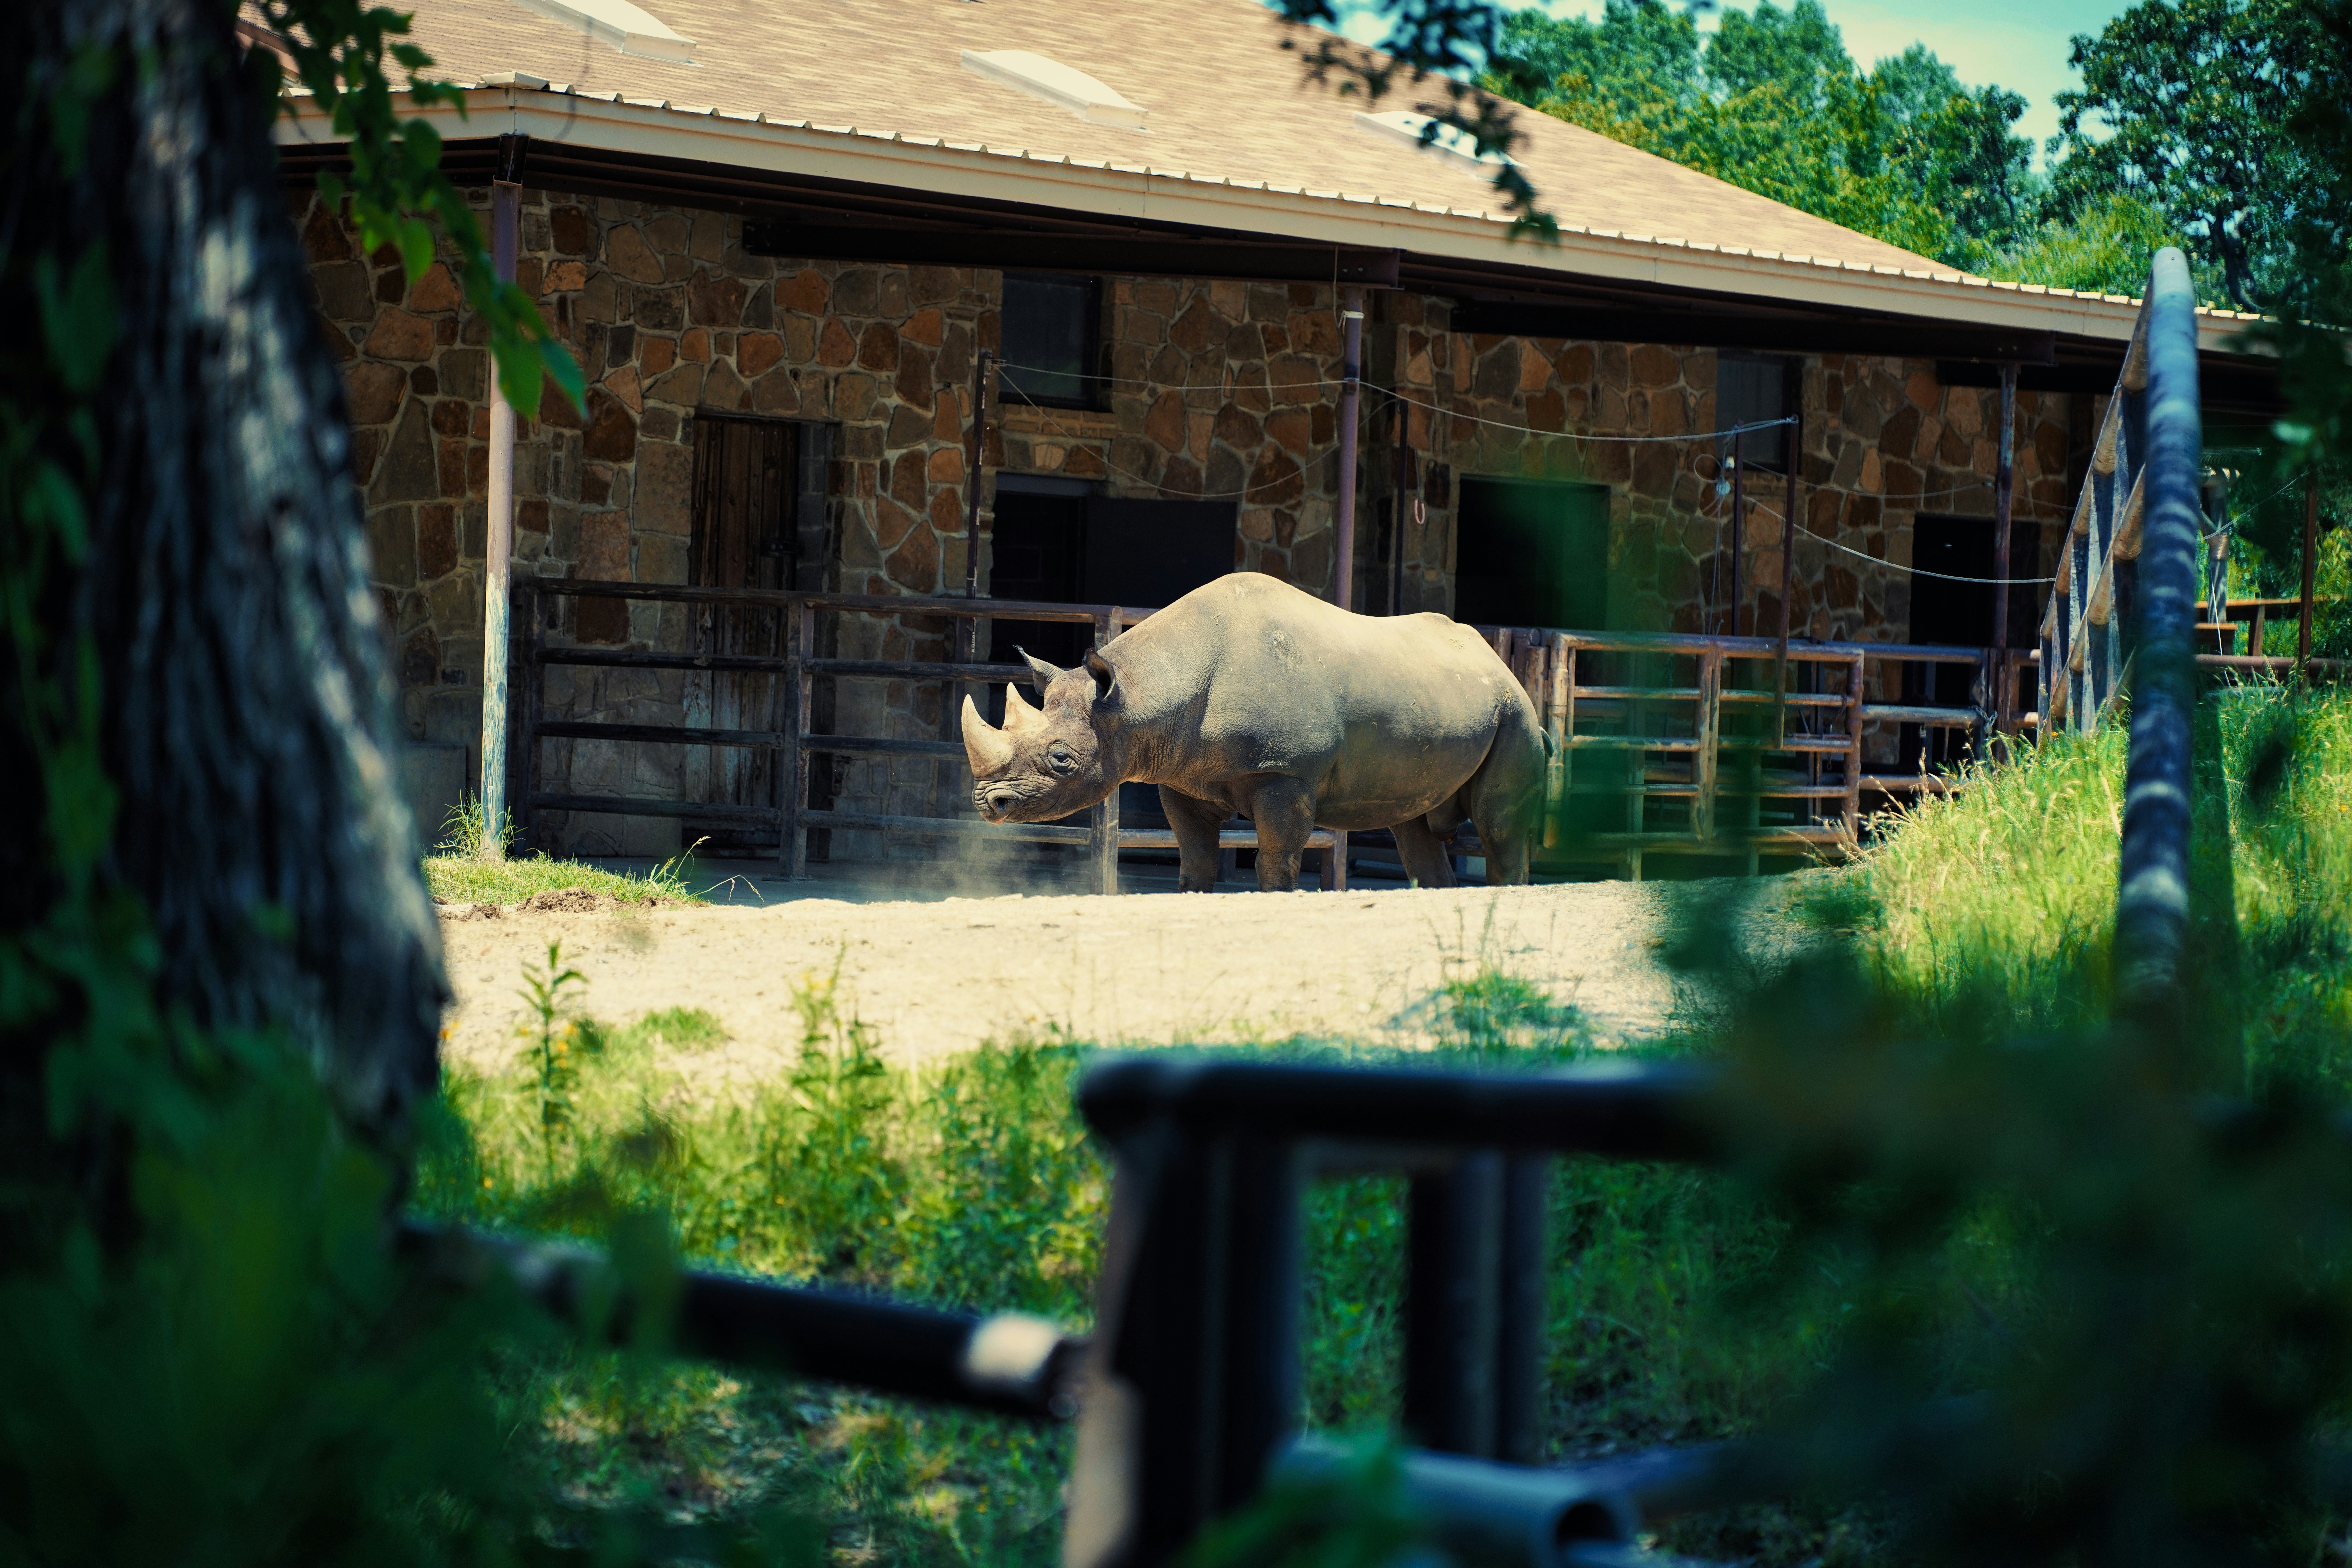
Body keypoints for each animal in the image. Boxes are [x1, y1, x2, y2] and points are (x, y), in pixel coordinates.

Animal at [959, 572, 1548, 891]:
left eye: (1062, 760)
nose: (988, 804)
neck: (1137, 696)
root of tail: (1499, 664)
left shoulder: (1284, 774)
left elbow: (1276, 860)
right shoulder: (1180, 775)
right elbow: (1195, 858)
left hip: (1516, 715)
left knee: (1497, 825)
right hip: (1445, 698)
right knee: (1415, 828)